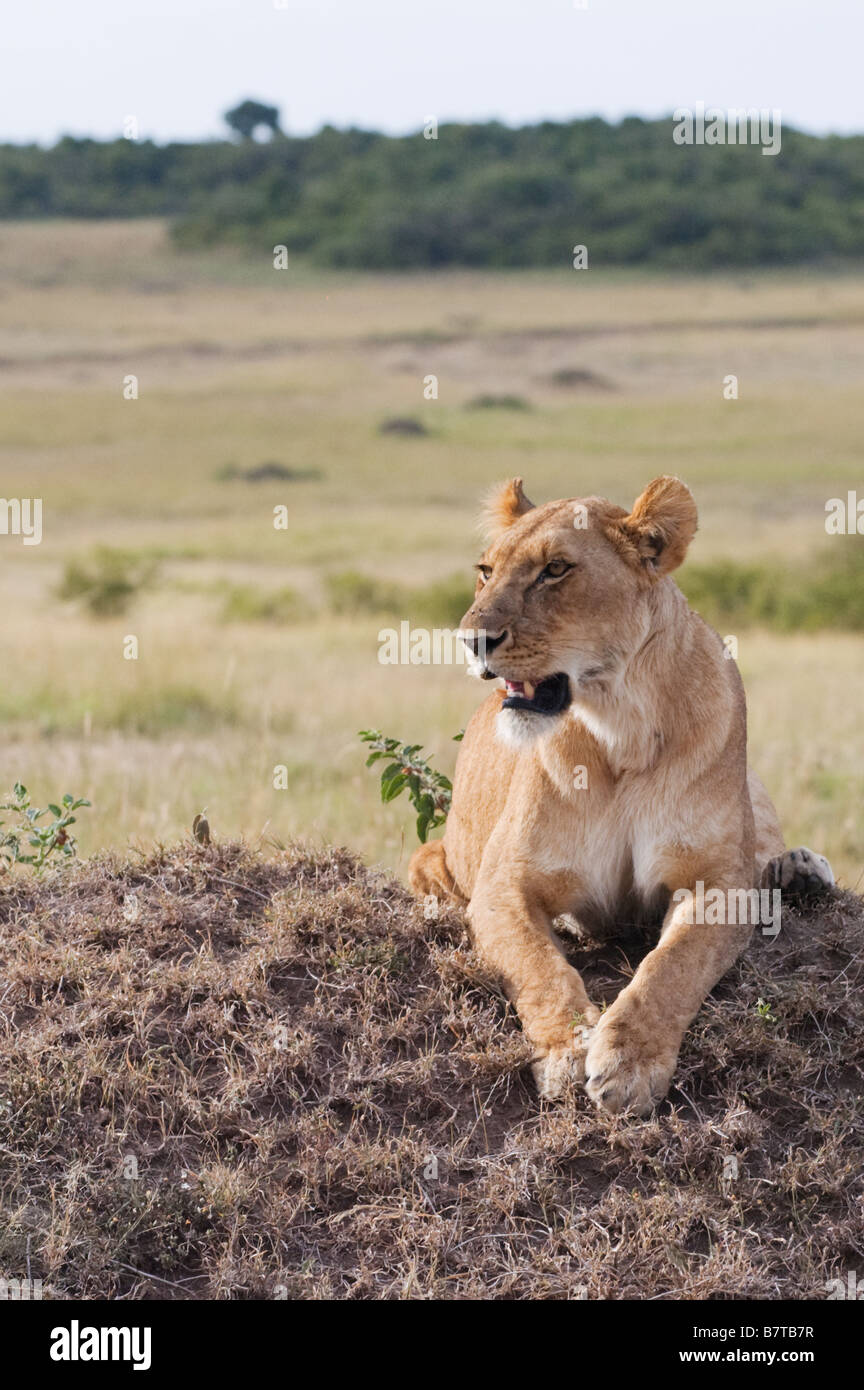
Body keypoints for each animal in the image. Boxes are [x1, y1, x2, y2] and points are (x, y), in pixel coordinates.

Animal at [409, 475, 834, 1115]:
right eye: (485, 570)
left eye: (555, 569)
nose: (471, 641)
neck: (620, 729)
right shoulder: (502, 886)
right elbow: (540, 968)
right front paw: (567, 1051)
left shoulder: (718, 883)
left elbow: (671, 967)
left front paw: (628, 1064)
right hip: (438, 857)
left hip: (751, 786)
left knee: (763, 850)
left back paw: (799, 870)